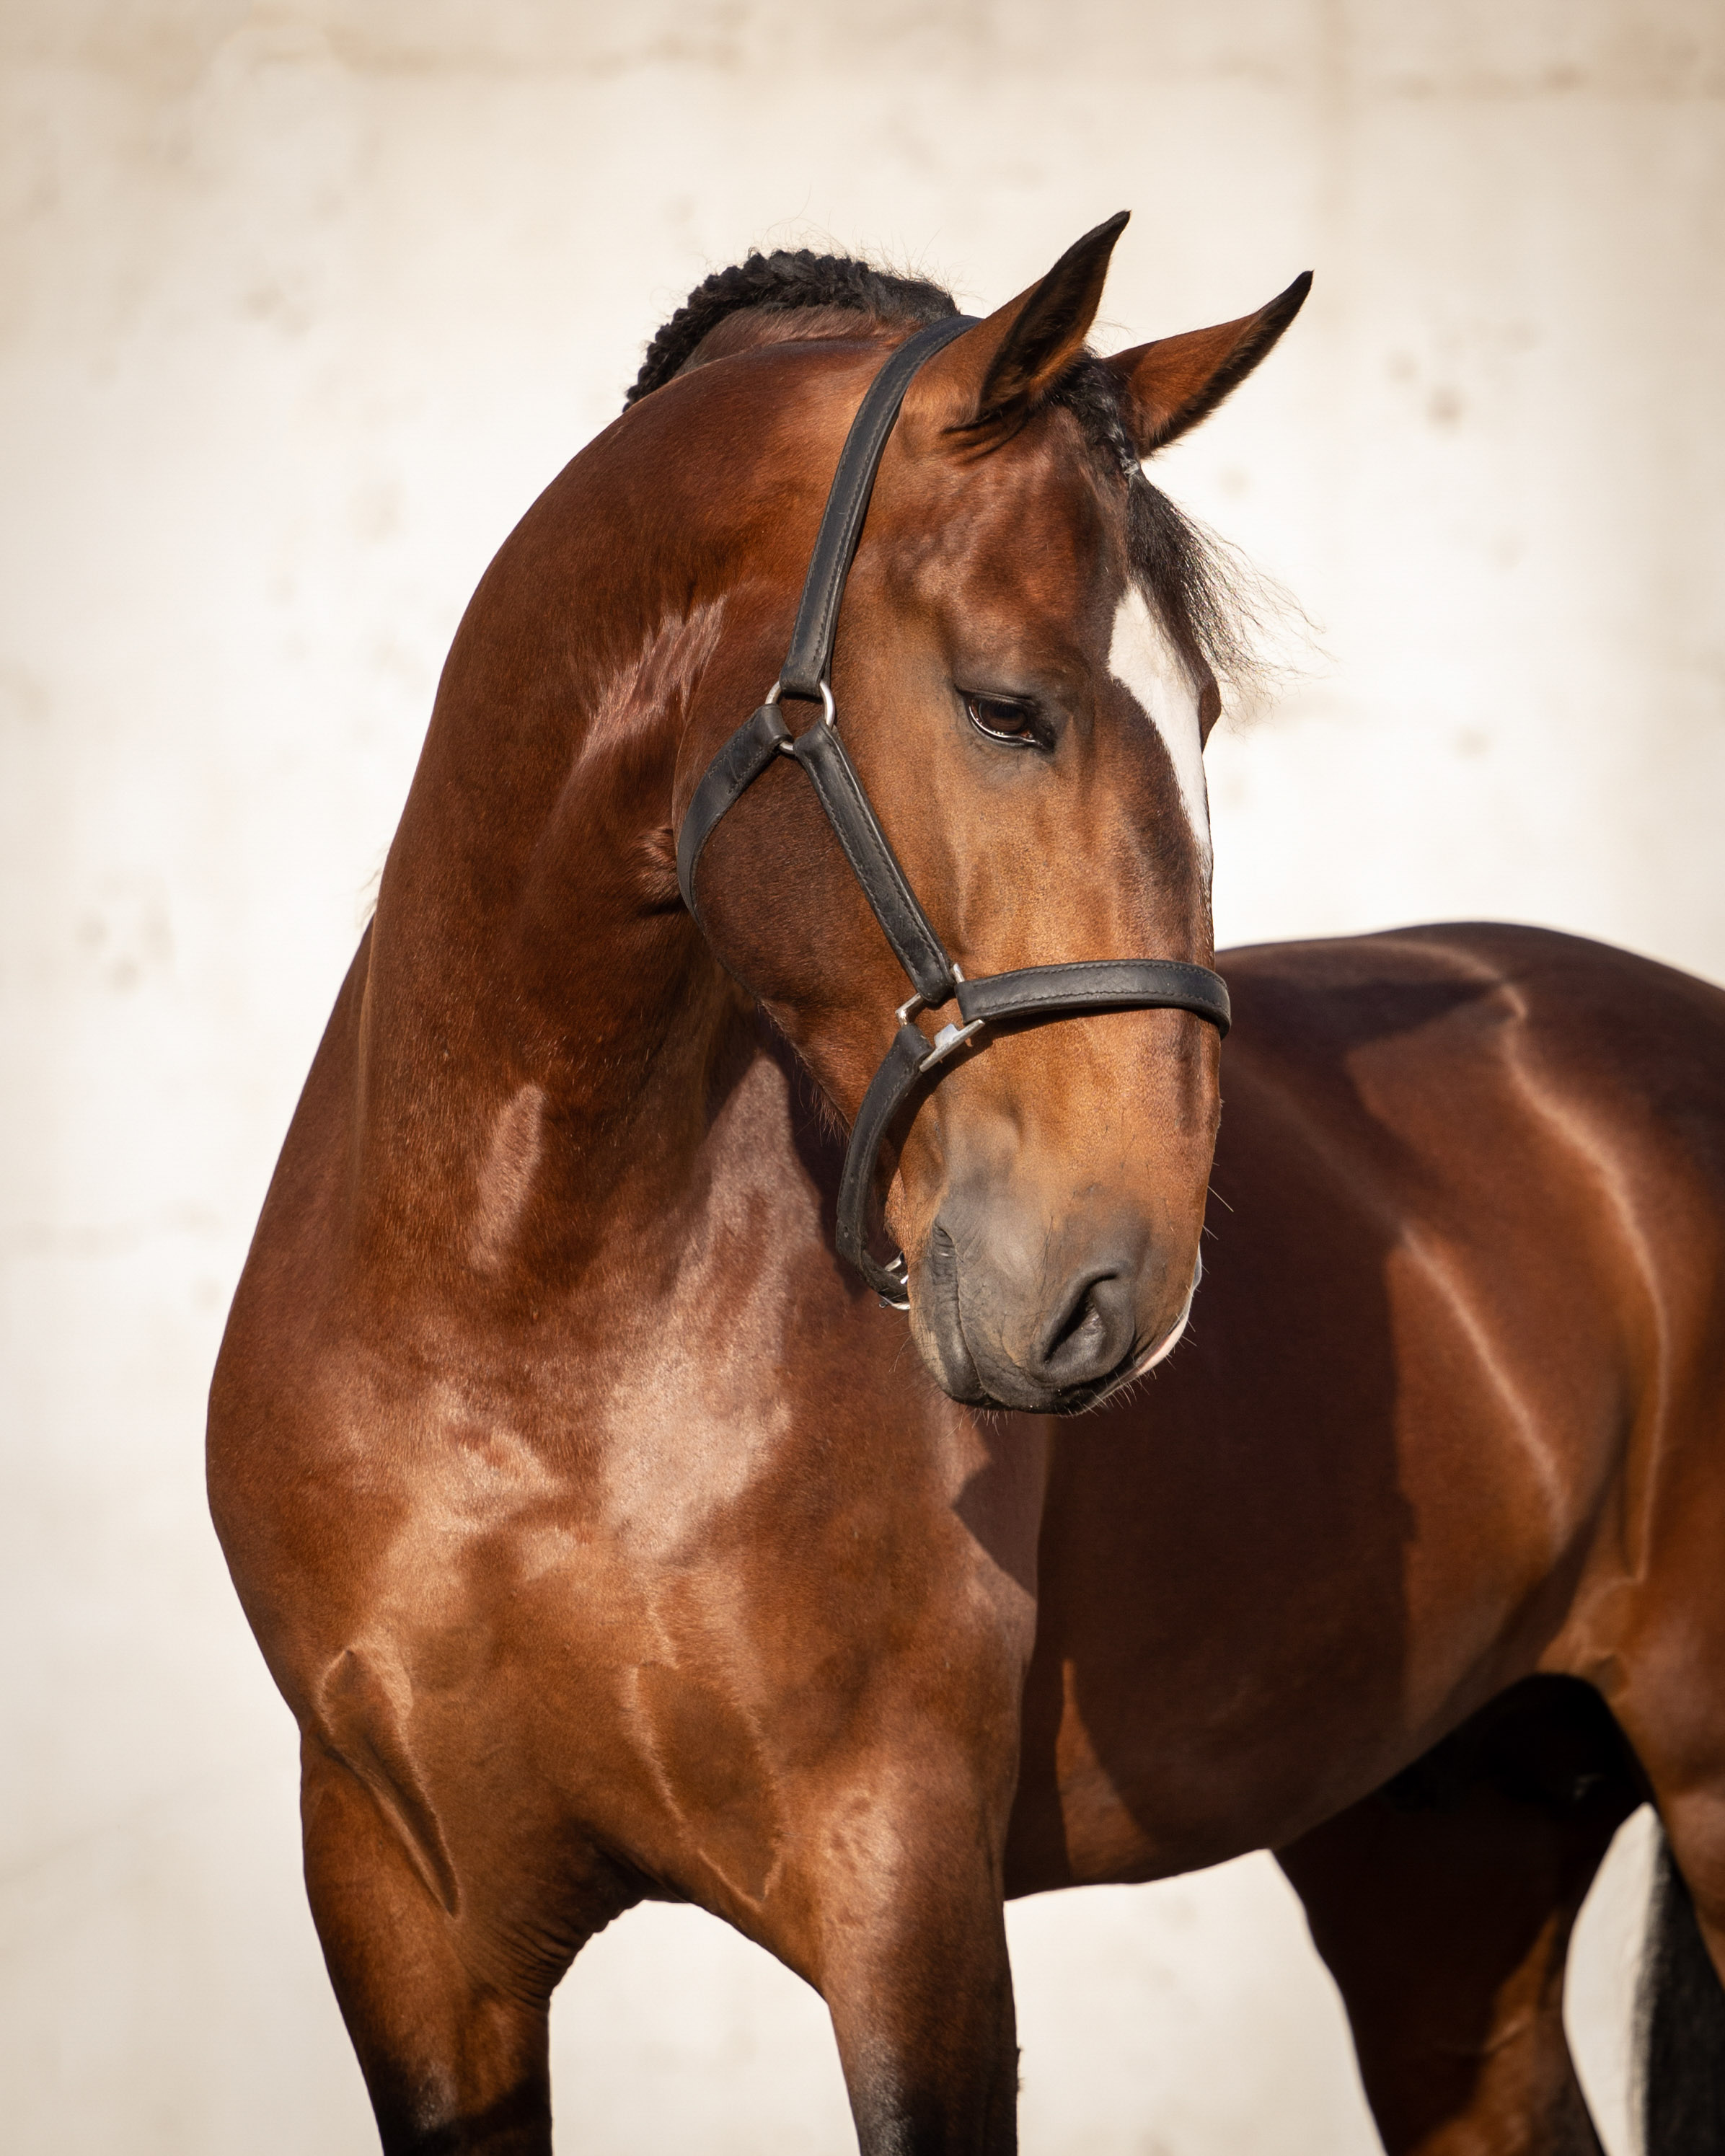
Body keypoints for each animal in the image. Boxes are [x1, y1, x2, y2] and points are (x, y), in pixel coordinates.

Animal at [208, 216, 1725, 2155]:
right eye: (1007, 706)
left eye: (1207, 713)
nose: (1113, 1291)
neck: (519, 1329)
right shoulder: (406, 1919)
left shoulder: (903, 1899)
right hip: (1441, 1851)